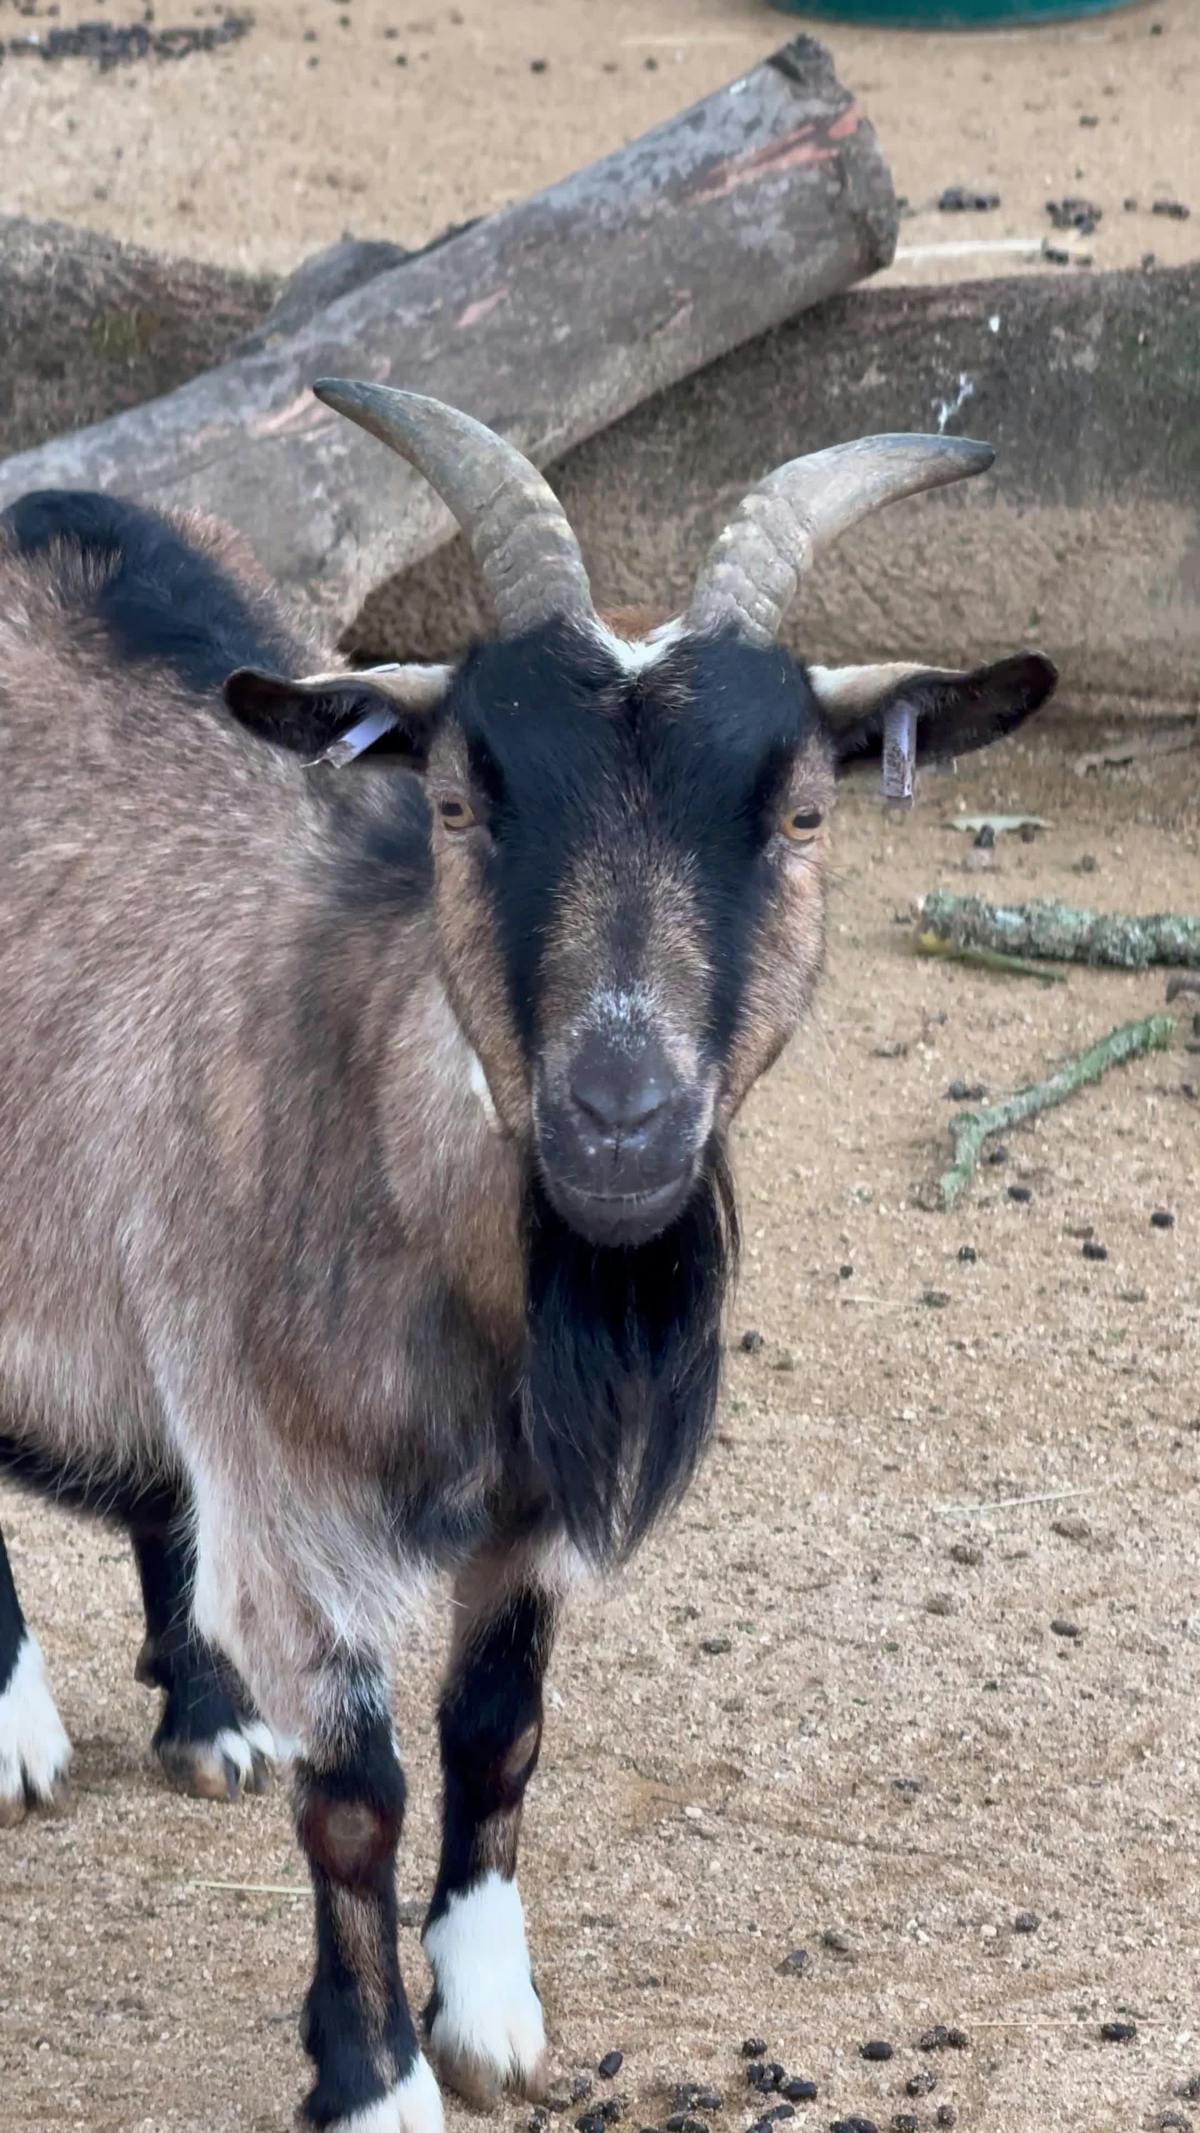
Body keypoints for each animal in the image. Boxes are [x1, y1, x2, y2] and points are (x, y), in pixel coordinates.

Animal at [0, 387, 1056, 2132]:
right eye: (457, 801)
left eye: (802, 811)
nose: (619, 1120)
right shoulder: (297, 1498)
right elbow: (359, 1794)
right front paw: (373, 2077)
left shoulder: (529, 1503)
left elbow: (500, 1731)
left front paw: (489, 2009)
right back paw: (22, 1725)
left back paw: (208, 1713)